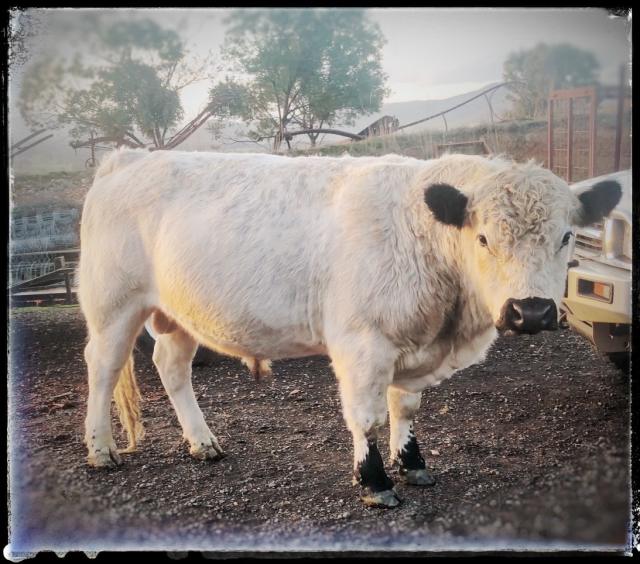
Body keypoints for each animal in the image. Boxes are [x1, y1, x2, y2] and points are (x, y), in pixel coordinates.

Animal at [79, 148, 621, 508]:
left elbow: (404, 407)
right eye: (484, 238)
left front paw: (413, 463)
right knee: (102, 369)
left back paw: (203, 443)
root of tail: (126, 158)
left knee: (171, 368)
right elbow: (367, 417)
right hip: (113, 305)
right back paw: (101, 450)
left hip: (179, 314)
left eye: (566, 236)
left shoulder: (411, 342)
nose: (531, 311)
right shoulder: (362, 345)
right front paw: (375, 480)